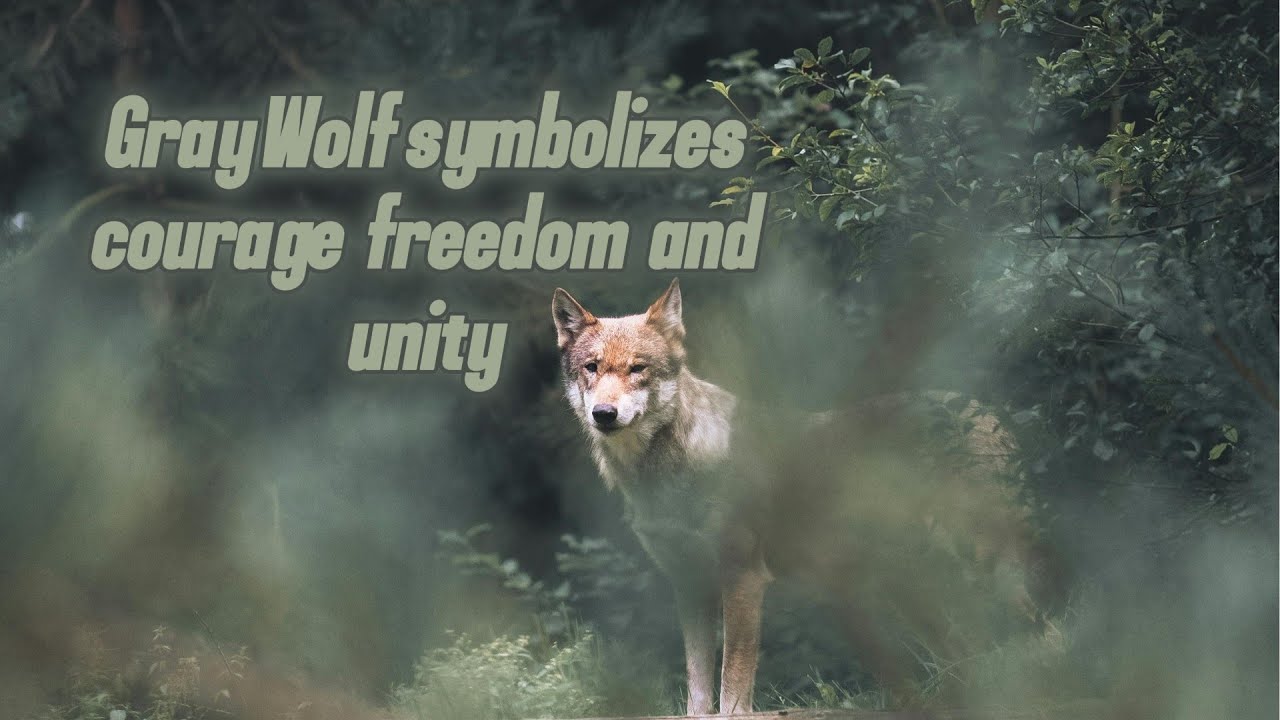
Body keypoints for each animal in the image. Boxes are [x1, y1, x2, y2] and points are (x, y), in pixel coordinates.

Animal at [552, 279, 1059, 716]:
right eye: (592, 368)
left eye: (637, 368)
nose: (604, 413)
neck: (662, 477)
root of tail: (989, 410)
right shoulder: (689, 585)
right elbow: (698, 695)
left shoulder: (743, 578)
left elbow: (732, 692)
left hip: (985, 568)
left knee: (1045, 635)